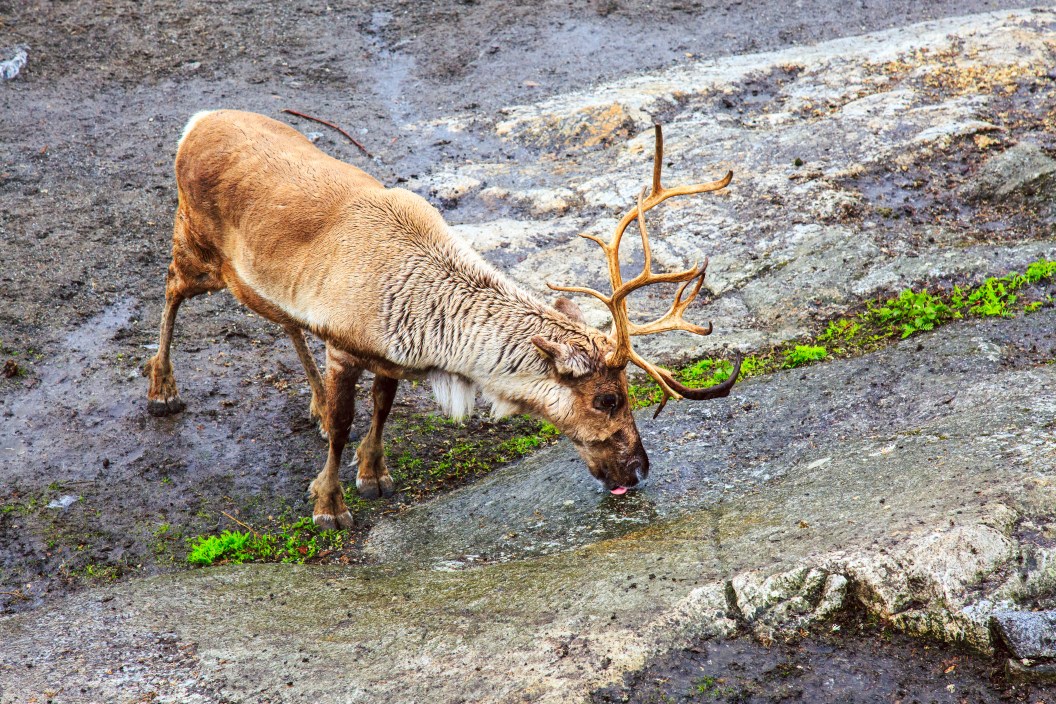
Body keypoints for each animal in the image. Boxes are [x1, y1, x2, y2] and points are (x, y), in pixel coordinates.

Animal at [144, 110, 740, 529]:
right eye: (608, 399)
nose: (639, 470)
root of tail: (194, 123)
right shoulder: (345, 347)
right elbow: (345, 424)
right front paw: (328, 504)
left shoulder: (385, 357)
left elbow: (382, 410)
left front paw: (374, 474)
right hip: (196, 245)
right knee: (170, 287)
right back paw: (162, 389)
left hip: (252, 284)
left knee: (285, 322)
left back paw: (309, 402)